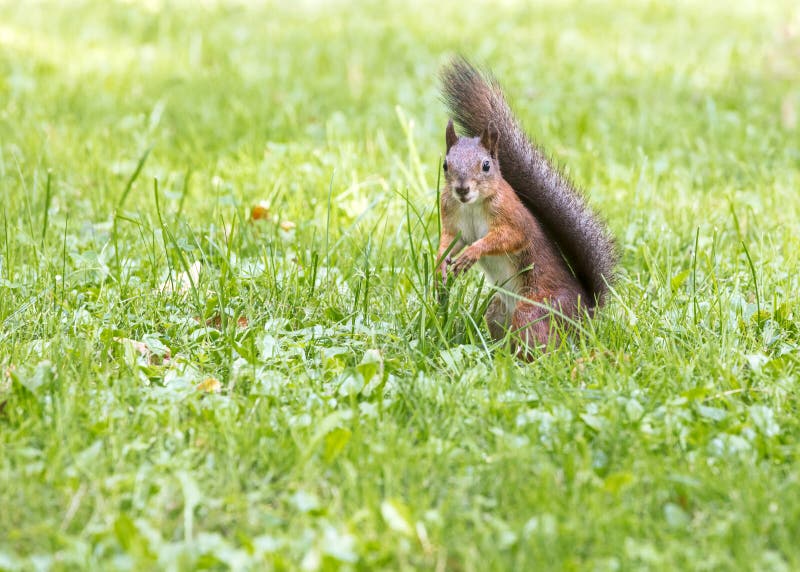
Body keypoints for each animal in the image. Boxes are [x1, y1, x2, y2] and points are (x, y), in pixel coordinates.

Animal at [436, 57, 617, 355]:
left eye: (486, 165)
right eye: (445, 165)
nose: (462, 189)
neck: (472, 205)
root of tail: (586, 312)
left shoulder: (511, 216)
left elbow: (509, 237)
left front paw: (472, 253)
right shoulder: (452, 218)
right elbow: (450, 240)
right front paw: (440, 264)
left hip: (533, 311)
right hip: (498, 311)